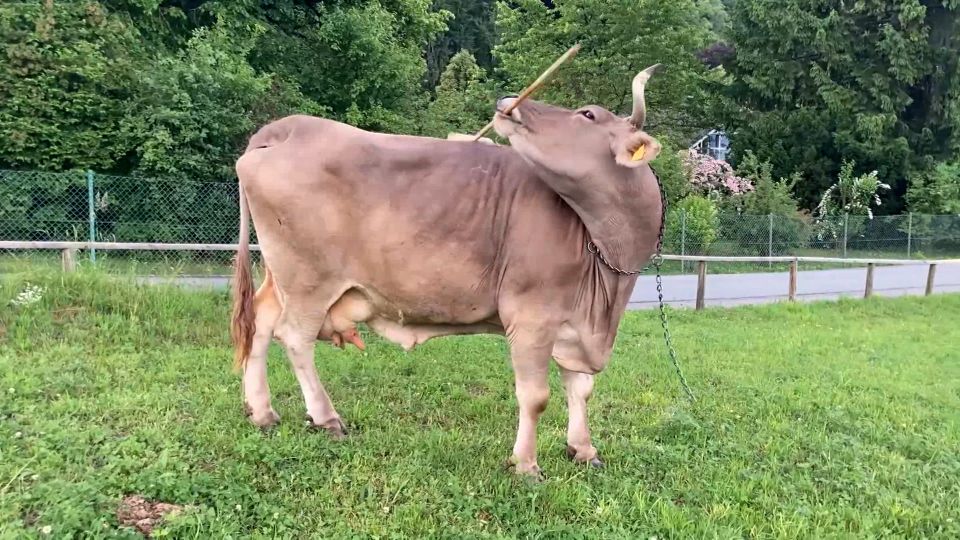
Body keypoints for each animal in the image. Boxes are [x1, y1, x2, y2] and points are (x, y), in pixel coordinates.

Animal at [231, 66, 664, 479]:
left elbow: (581, 388)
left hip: (280, 276)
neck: (606, 281)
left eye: (587, 114)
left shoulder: (576, 326)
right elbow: (536, 396)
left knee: (261, 321)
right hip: (308, 278)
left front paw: (584, 449)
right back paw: (326, 417)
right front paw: (526, 465)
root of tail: (289, 127)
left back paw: (262, 412)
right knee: (294, 336)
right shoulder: (531, 316)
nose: (507, 100)